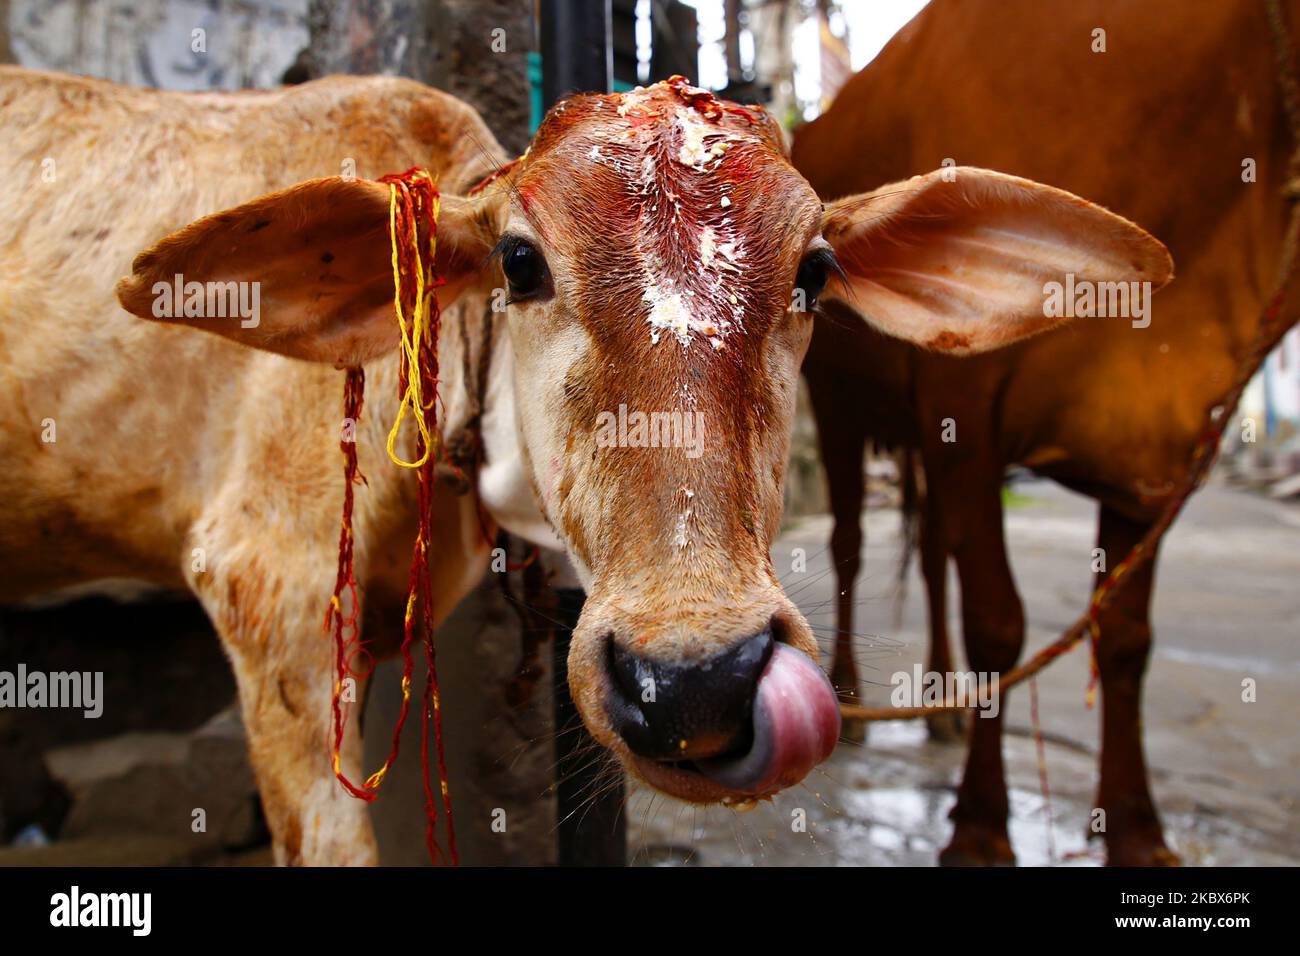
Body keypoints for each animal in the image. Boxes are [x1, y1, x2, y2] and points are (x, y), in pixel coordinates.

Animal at [794, 0, 1293, 865]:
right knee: (851, 543)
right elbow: (997, 623)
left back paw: (941, 702)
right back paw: (853, 693)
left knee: (932, 556)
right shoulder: (964, 404)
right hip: (839, 406)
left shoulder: (1153, 449)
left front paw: (1136, 828)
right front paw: (980, 827)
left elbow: (1124, 639)